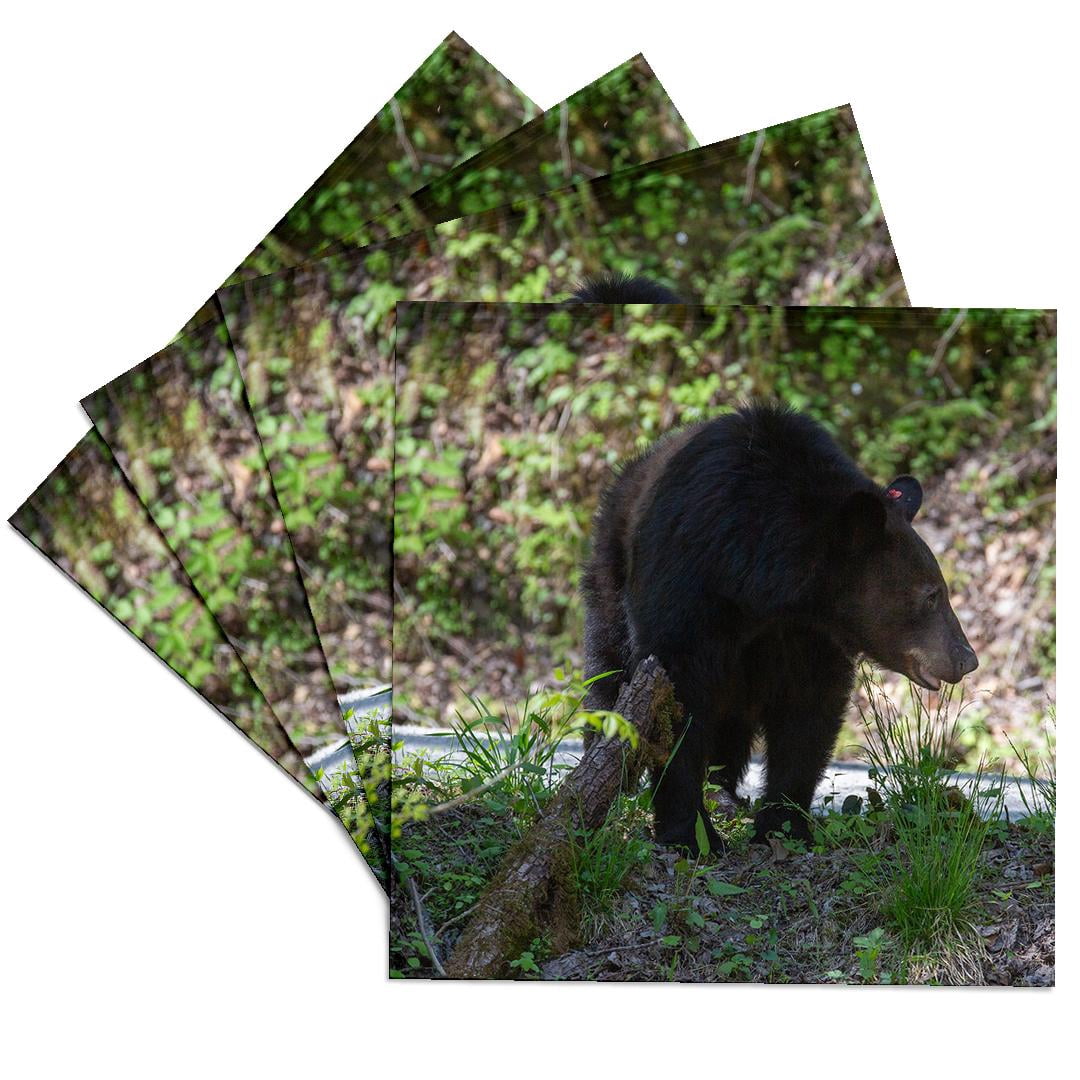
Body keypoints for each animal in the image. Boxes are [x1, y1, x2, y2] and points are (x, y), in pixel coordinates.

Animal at [581, 400, 979, 853]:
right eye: (932, 595)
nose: (966, 658)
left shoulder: (806, 633)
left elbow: (808, 710)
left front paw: (783, 825)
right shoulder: (686, 586)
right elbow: (676, 702)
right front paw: (691, 834)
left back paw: (723, 792)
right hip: (612, 570)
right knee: (607, 664)